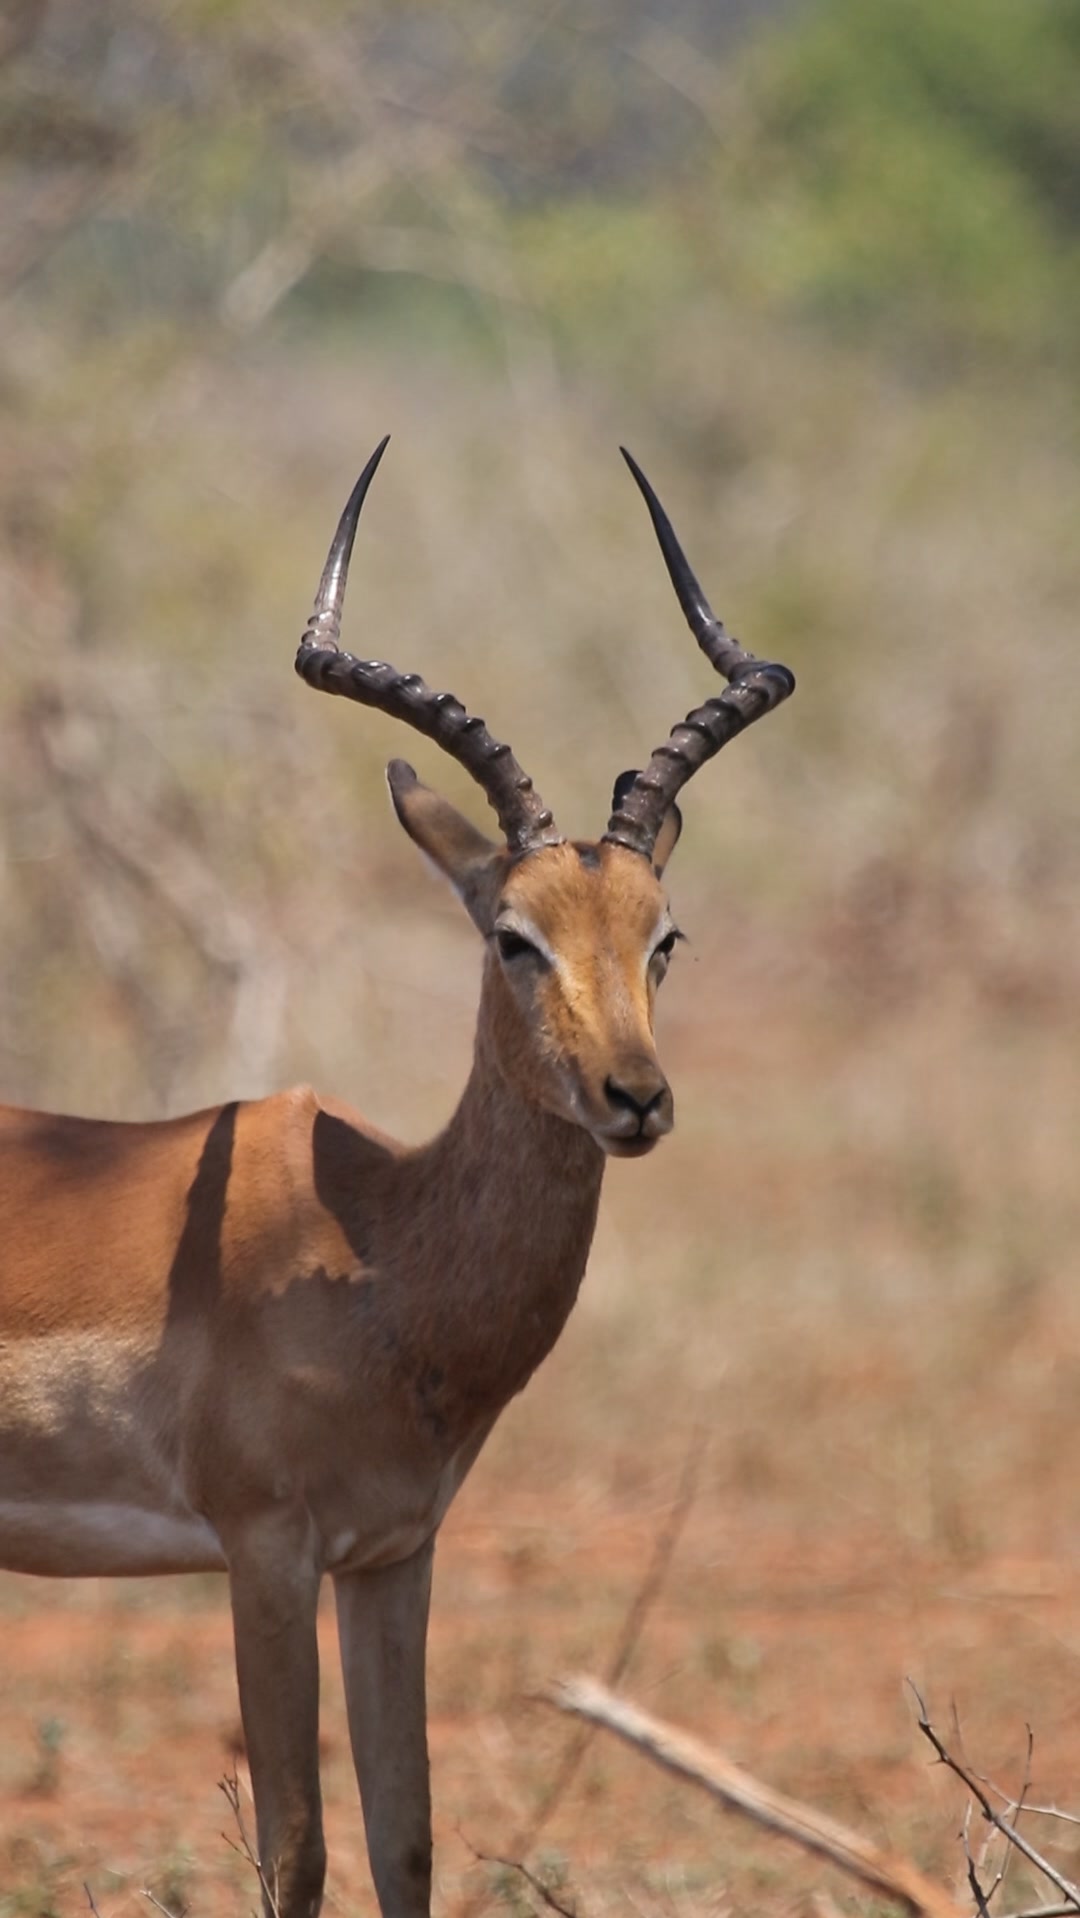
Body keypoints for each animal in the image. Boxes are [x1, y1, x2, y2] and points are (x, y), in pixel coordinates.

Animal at [0, 441, 794, 1918]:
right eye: (512, 934)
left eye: (663, 934)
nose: (636, 1098)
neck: (376, 1249)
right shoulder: (264, 1550)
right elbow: (299, 1847)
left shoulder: (394, 1555)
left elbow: (405, 1834)